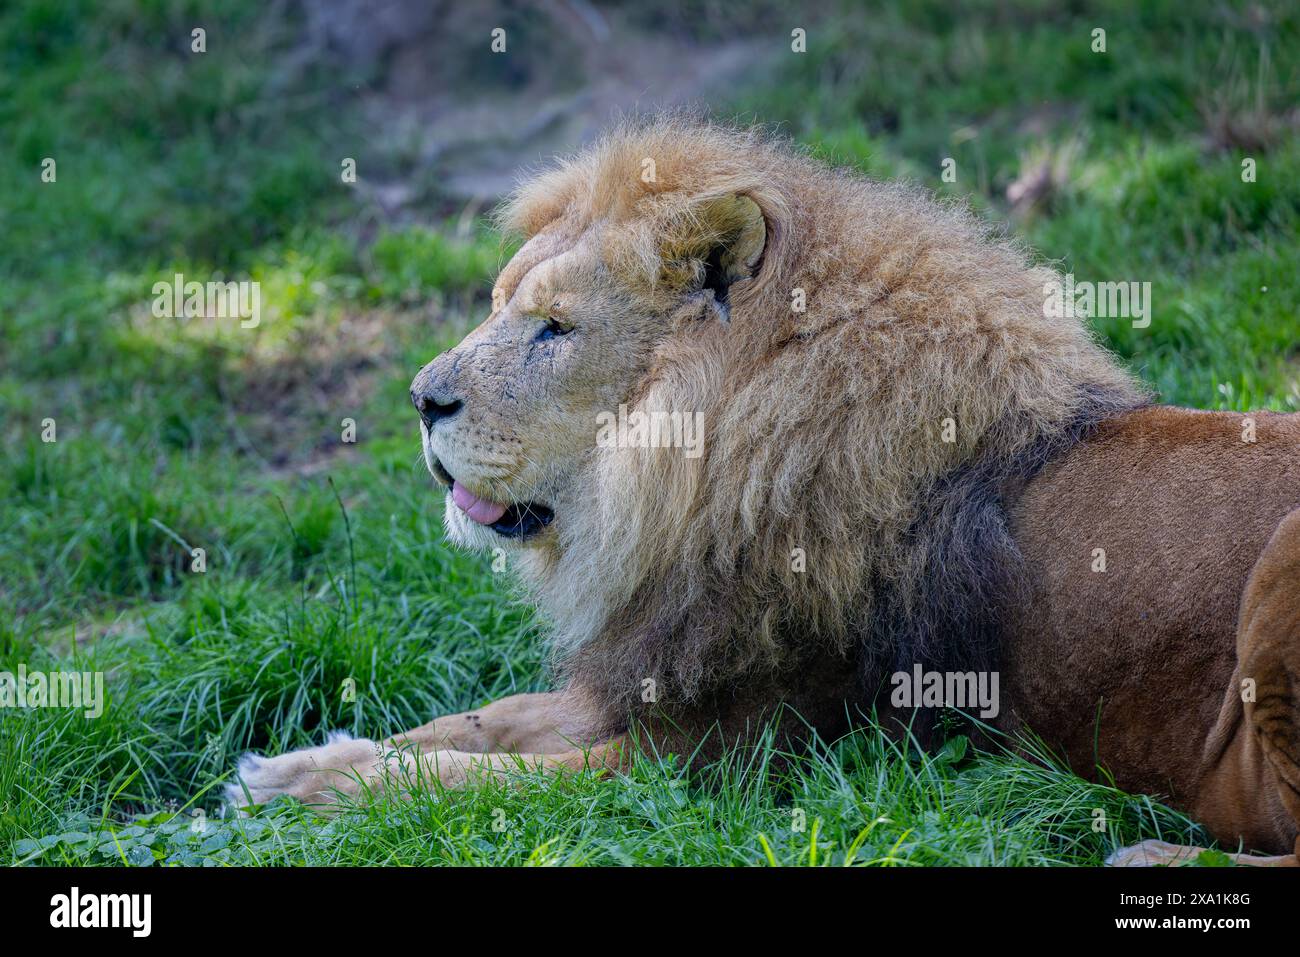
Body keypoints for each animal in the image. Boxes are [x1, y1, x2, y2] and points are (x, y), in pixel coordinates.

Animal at [228, 117, 1300, 866]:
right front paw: (291, 768)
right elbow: (479, 720)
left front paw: (325, 792)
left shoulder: (727, 754)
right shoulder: (663, 669)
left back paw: (1150, 849)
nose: (421, 399)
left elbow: (469, 781)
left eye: (555, 328)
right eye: (497, 305)